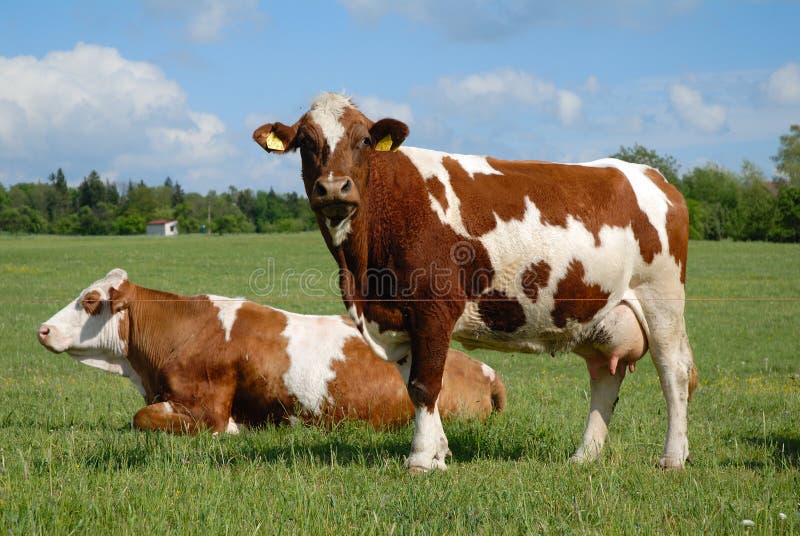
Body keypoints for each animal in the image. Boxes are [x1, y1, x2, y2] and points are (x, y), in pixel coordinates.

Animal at [252, 92, 698, 472]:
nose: (333, 187)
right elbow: (414, 385)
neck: (361, 270)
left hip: (661, 298)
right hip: (602, 314)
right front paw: (438, 451)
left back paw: (672, 457)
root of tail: (650, 175)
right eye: (305, 142)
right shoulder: (398, 318)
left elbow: (425, 385)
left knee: (674, 372)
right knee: (605, 377)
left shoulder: (433, 308)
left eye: (363, 139)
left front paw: (420, 460)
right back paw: (584, 455)